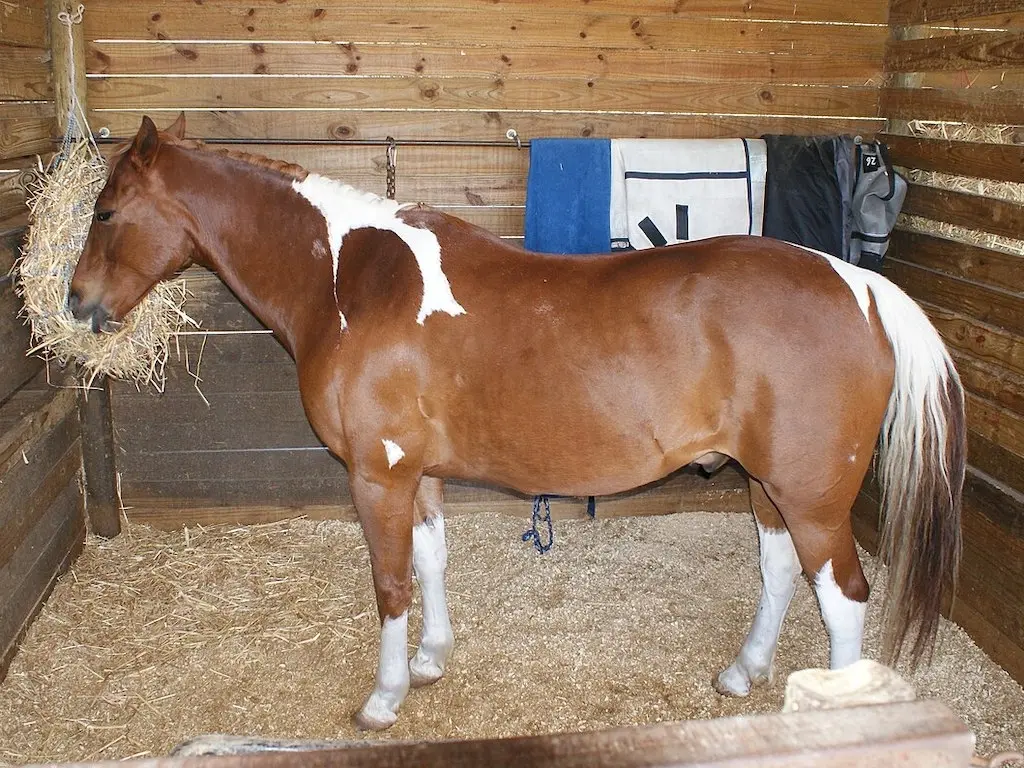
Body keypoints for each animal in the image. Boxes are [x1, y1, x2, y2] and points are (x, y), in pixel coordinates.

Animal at [69, 115, 965, 731]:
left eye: (106, 213)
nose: (77, 305)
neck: (350, 279)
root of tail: (857, 283)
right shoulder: (418, 474)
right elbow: (431, 562)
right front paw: (431, 661)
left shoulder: (377, 475)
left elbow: (390, 584)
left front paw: (384, 698)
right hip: (770, 489)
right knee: (781, 572)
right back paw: (743, 673)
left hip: (811, 497)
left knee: (843, 597)